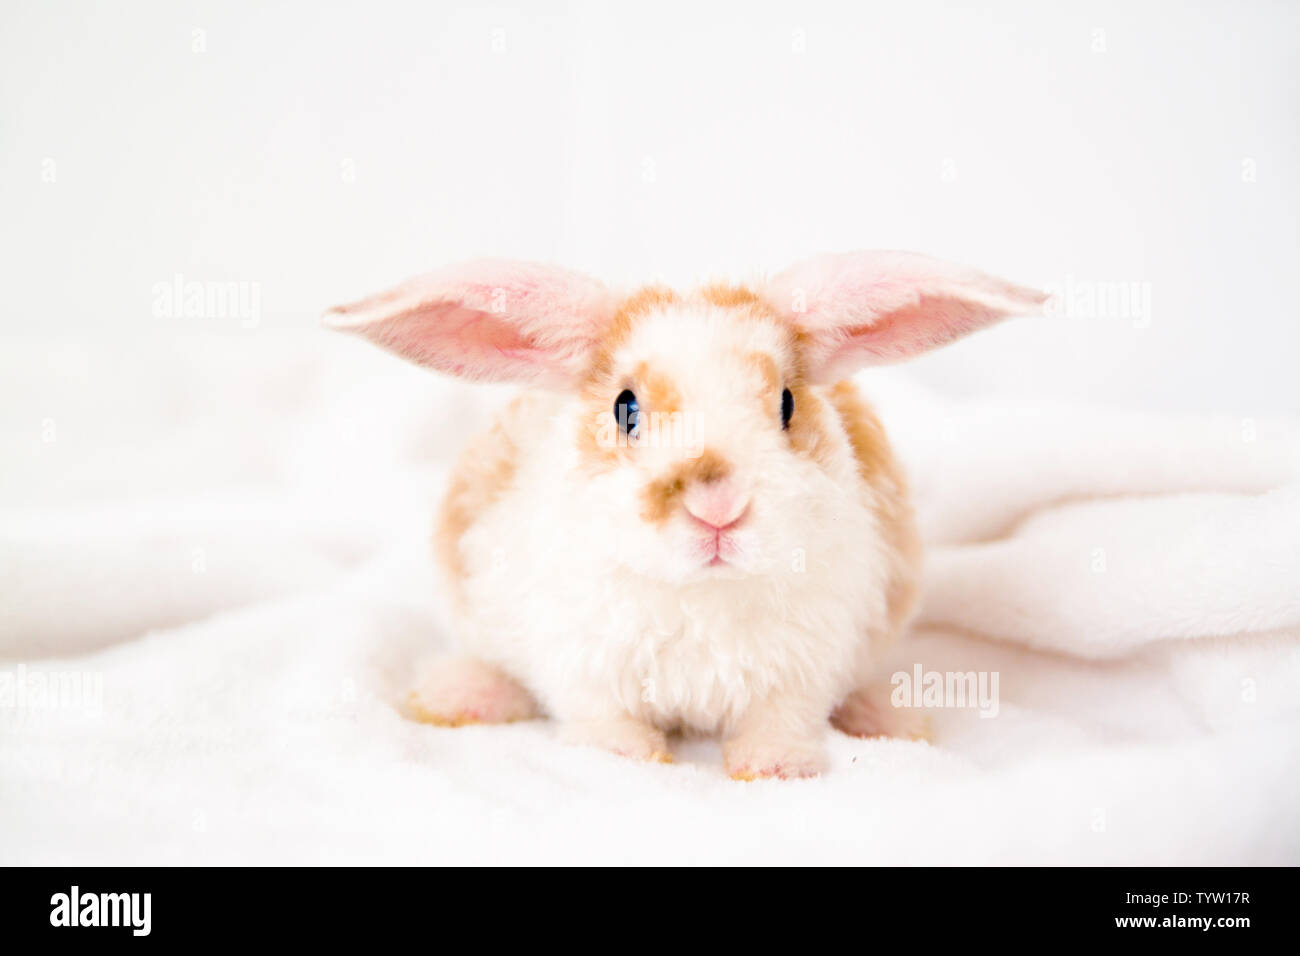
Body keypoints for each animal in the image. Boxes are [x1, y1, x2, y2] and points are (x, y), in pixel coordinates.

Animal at [324, 252, 1044, 778]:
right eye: (626, 408)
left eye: (786, 404)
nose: (717, 505)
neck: (702, 591)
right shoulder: (577, 661)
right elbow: (598, 716)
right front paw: (629, 757)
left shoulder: (808, 666)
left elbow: (783, 718)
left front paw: (776, 767)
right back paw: (459, 697)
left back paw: (887, 719)